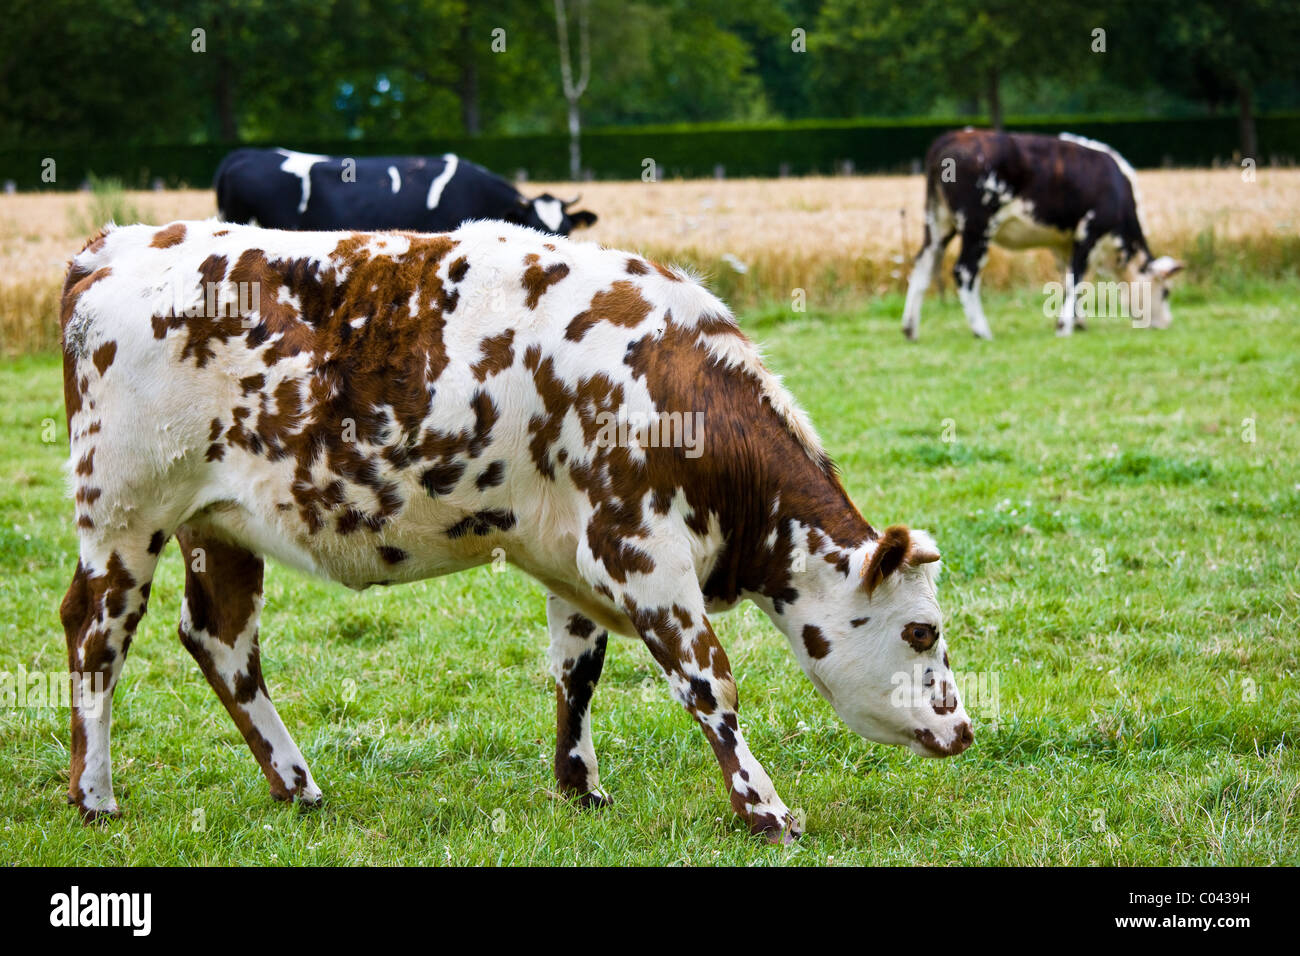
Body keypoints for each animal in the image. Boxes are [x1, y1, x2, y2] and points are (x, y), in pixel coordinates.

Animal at [58, 218, 972, 842]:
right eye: (922, 631)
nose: (963, 729)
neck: (667, 384)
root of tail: (114, 245)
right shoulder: (640, 551)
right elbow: (709, 683)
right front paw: (764, 809)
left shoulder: (574, 555)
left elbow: (577, 673)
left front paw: (579, 786)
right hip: (123, 515)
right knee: (96, 634)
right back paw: (95, 796)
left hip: (219, 526)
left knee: (220, 638)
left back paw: (296, 782)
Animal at [902, 129, 1184, 340]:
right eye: (1166, 292)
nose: (1166, 324)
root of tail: (952, 137)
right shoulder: (1089, 232)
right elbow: (1076, 278)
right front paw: (1064, 327)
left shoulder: (1063, 242)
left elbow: (1068, 279)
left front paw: (1078, 322)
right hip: (977, 227)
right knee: (964, 272)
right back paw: (982, 330)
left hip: (938, 224)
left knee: (923, 266)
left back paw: (910, 329)